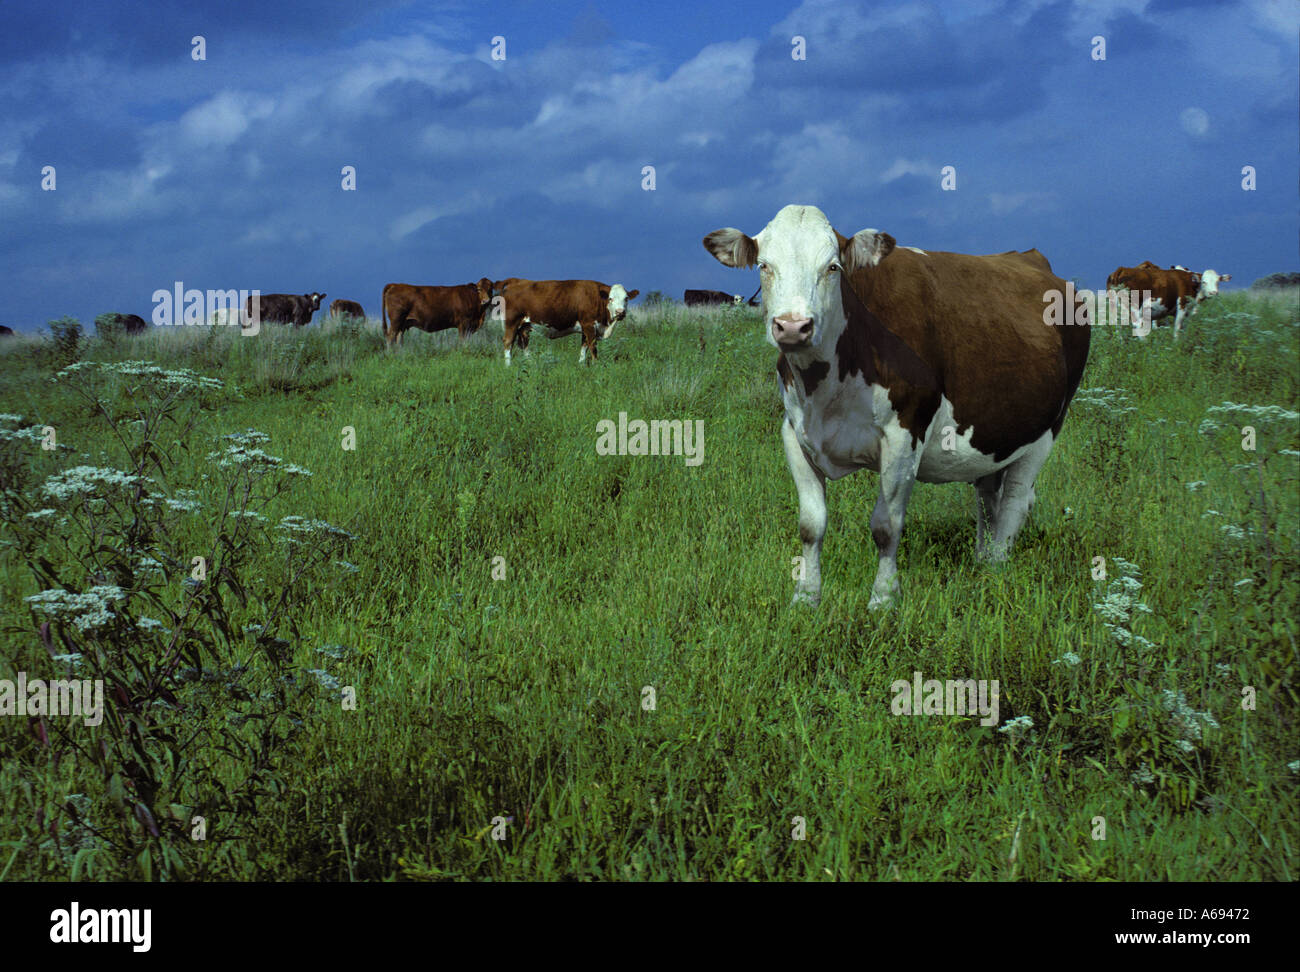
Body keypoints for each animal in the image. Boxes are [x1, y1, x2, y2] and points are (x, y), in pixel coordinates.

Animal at [493, 279, 639, 364]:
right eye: (610, 298)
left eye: (626, 298)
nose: (620, 312)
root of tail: (516, 281)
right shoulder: (589, 325)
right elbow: (593, 348)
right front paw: (596, 365)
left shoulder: (586, 328)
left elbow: (584, 347)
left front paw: (581, 365)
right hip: (511, 322)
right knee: (508, 343)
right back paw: (508, 366)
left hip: (524, 325)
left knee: (523, 343)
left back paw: (529, 363)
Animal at [703, 204, 1090, 609]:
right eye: (764, 265)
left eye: (833, 267)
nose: (793, 327)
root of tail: (1030, 257)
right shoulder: (795, 433)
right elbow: (811, 524)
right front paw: (806, 598)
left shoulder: (905, 433)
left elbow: (886, 526)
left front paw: (883, 600)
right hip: (993, 433)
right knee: (988, 497)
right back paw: (982, 562)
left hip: (1047, 429)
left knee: (1015, 499)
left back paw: (996, 569)